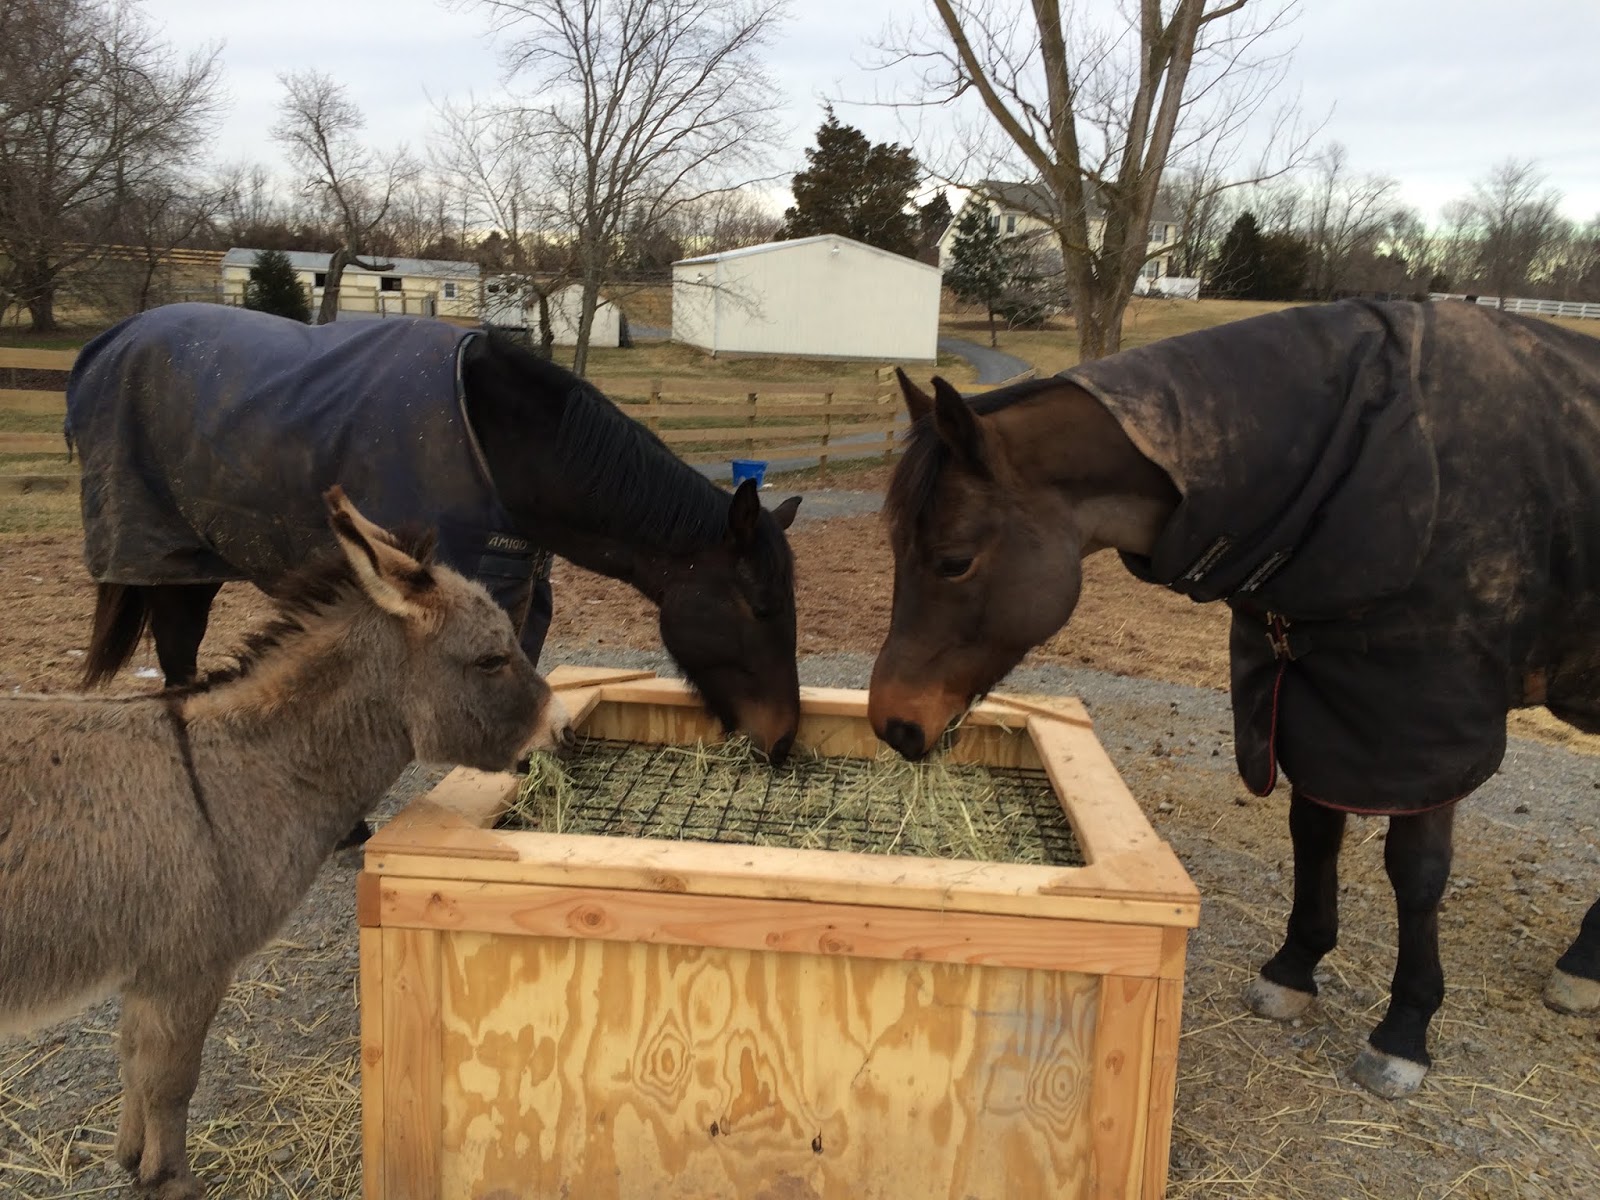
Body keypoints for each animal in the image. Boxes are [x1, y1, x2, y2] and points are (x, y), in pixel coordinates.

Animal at [0, 488, 571, 1199]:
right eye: (492, 659)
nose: (564, 729)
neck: (231, 774)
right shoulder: (186, 968)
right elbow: (170, 1082)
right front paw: (171, 1182)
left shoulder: (147, 972)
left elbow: (132, 1065)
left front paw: (131, 1160)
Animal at [64, 303, 802, 783]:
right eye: (758, 606)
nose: (785, 741)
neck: (502, 445)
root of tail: (113, 341)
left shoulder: (515, 587)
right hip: (166, 562)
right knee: (178, 658)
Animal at [869, 299, 1600, 1098]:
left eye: (953, 562)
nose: (893, 723)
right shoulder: (1308, 696)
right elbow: (1314, 831)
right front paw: (1295, 968)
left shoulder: (1426, 723)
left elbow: (1417, 874)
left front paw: (1404, 1030)